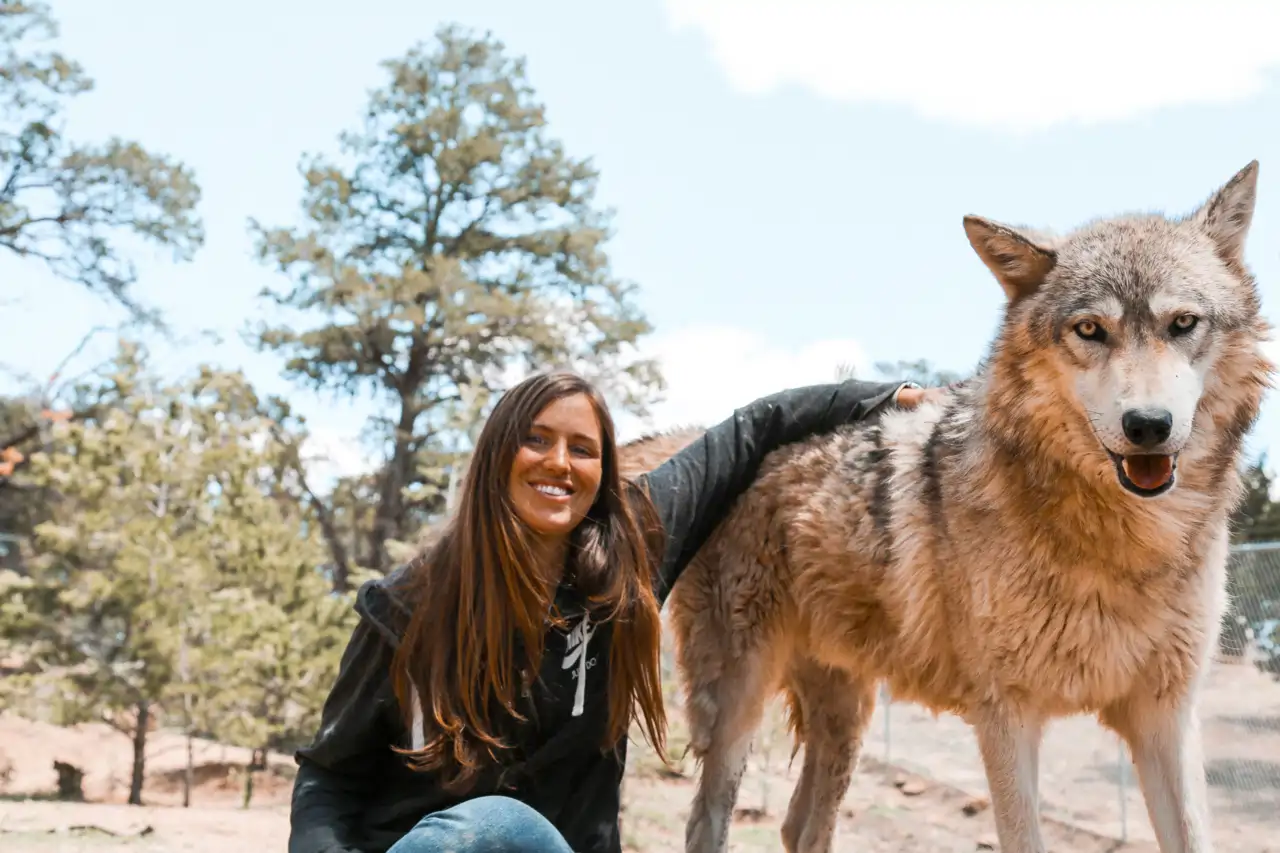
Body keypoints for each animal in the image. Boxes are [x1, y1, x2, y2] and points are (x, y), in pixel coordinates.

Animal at [619, 162, 1273, 853]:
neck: (1123, 544)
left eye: (1183, 324)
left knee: (799, 823)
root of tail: (698, 436)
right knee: (708, 818)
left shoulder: (1165, 716)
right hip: (738, 701)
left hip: (847, 708)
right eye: (1091, 330)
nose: (1148, 426)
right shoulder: (1005, 715)